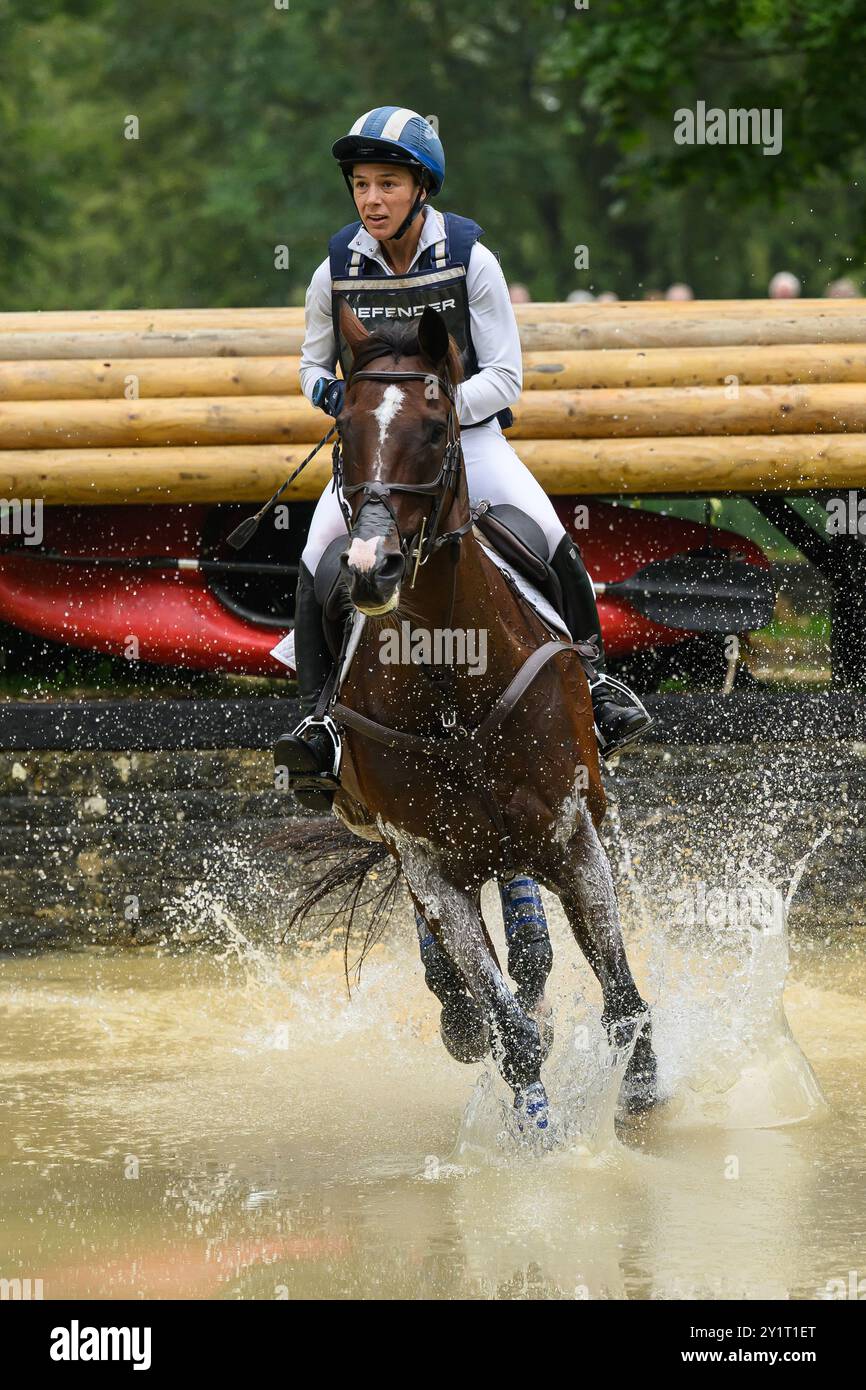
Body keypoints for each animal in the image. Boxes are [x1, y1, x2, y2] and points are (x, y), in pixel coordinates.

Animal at [284, 298, 658, 1132]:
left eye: (434, 426)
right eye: (343, 427)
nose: (371, 569)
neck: (450, 674)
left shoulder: (570, 835)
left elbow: (621, 998)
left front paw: (645, 1097)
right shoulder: (428, 862)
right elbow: (509, 1031)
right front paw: (539, 1135)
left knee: (529, 932)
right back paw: (460, 1013)